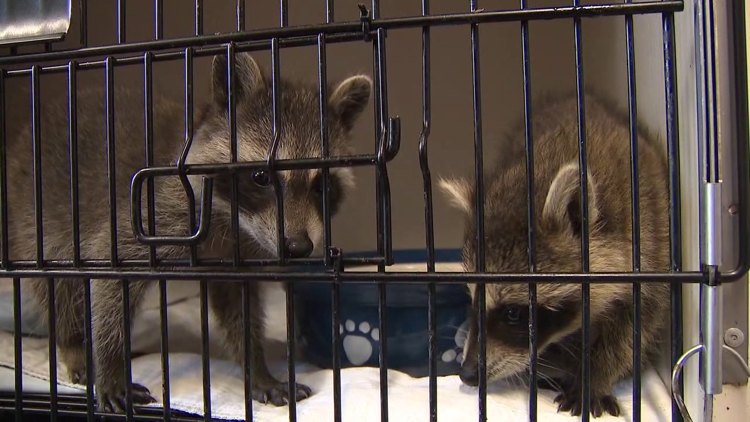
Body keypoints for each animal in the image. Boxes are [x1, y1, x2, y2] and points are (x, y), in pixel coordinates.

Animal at [4, 52, 371, 412]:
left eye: (321, 185)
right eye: (260, 177)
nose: (298, 247)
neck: (233, 221)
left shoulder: (241, 251)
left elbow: (239, 308)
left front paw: (256, 367)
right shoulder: (159, 209)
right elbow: (111, 272)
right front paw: (109, 366)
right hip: (35, 218)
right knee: (60, 288)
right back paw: (74, 345)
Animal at [438, 91, 671, 418]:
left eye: (512, 313)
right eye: (473, 299)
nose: (468, 374)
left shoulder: (649, 247)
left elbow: (632, 329)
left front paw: (594, 377)